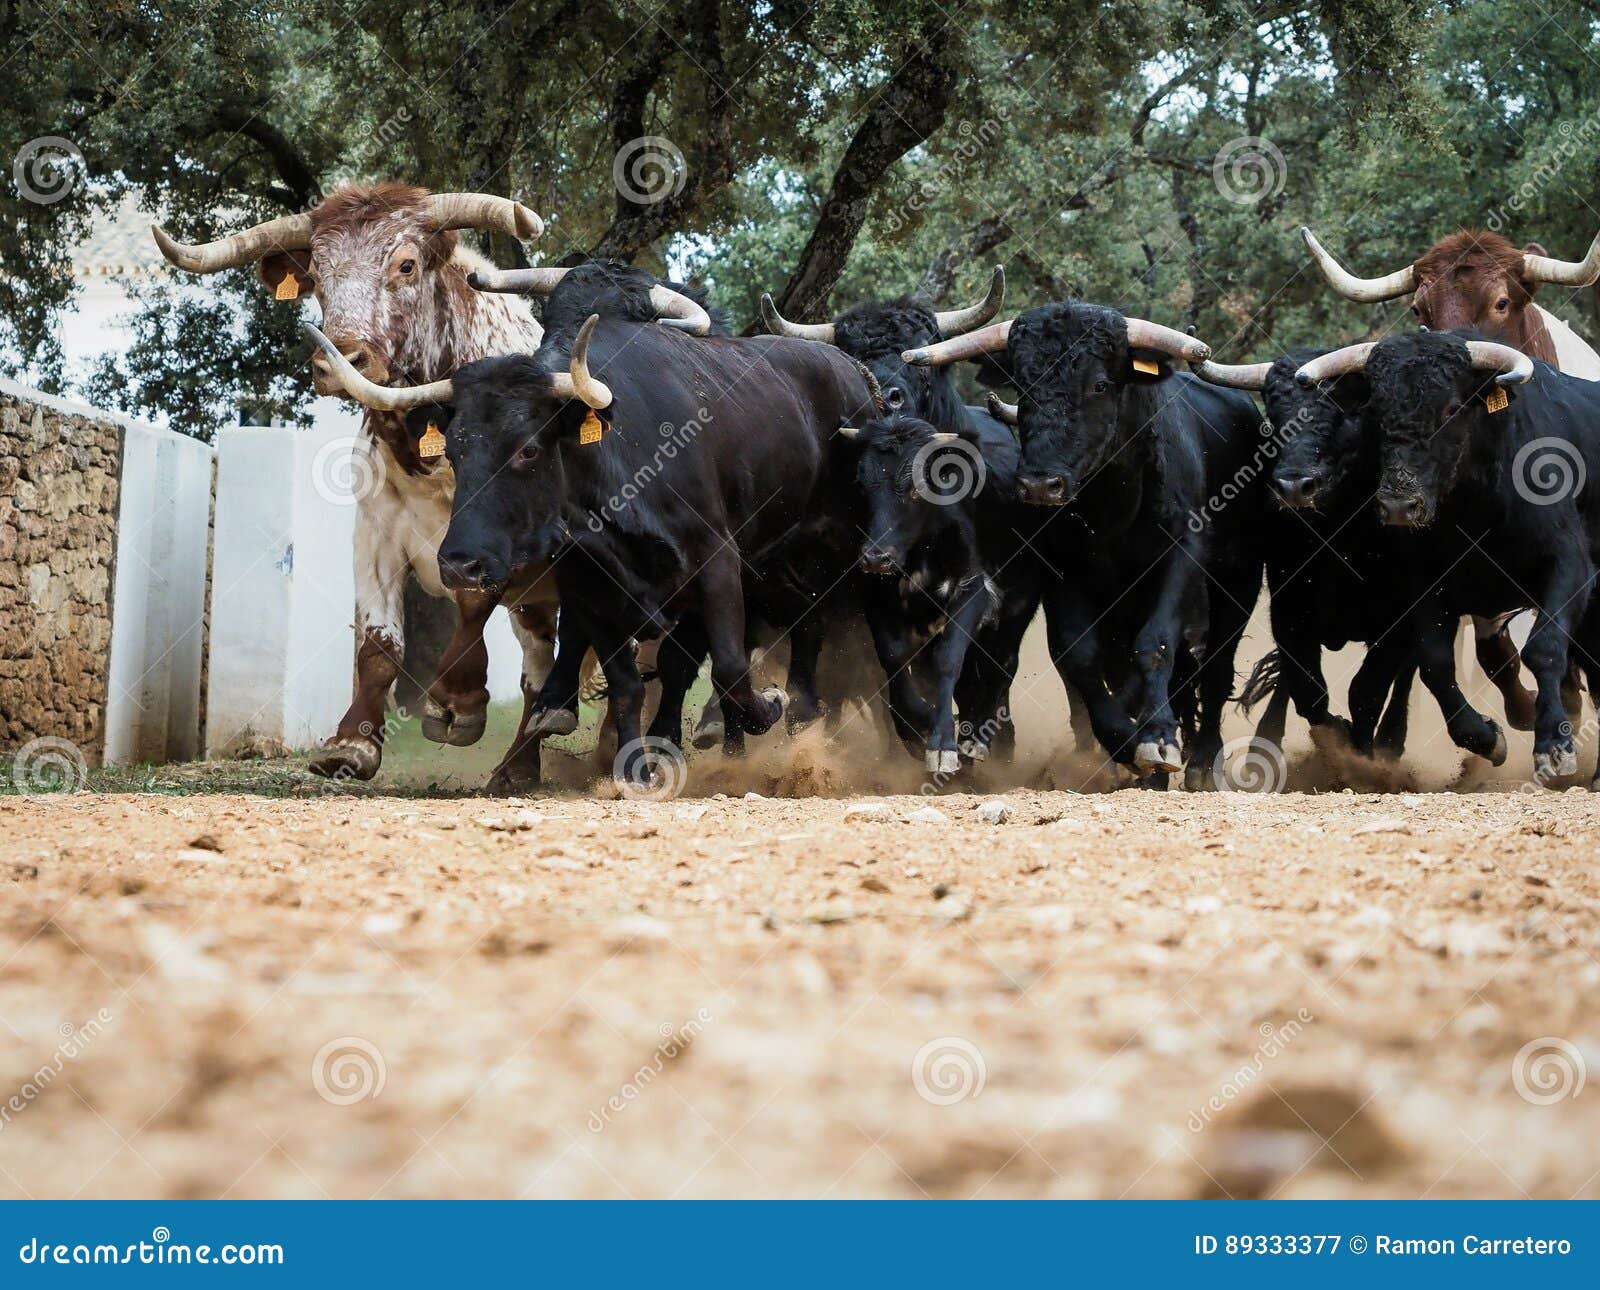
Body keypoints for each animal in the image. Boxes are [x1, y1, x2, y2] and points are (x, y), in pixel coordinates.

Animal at [305, 308, 880, 788]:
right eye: (454, 449)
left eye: (528, 449)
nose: (461, 563)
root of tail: (853, 373)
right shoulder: (591, 591)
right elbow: (629, 683)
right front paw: (634, 765)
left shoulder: (716, 564)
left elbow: (730, 667)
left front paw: (767, 707)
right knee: (793, 624)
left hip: (833, 556)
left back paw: (807, 718)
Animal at [903, 304, 1266, 790]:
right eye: (1024, 385)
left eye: (1099, 384)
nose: (1041, 484)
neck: (1114, 509)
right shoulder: (1066, 576)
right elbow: (1079, 657)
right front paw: (1125, 744)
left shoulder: (1179, 560)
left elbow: (1156, 644)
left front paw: (1158, 739)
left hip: (1238, 584)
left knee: (1216, 667)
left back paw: (1202, 764)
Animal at [1295, 332, 1600, 785]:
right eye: (1376, 411)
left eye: (1452, 408)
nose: (1399, 506)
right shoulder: (1428, 585)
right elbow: (1435, 666)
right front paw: (1486, 738)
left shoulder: (1568, 565)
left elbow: (1543, 648)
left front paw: (1553, 747)